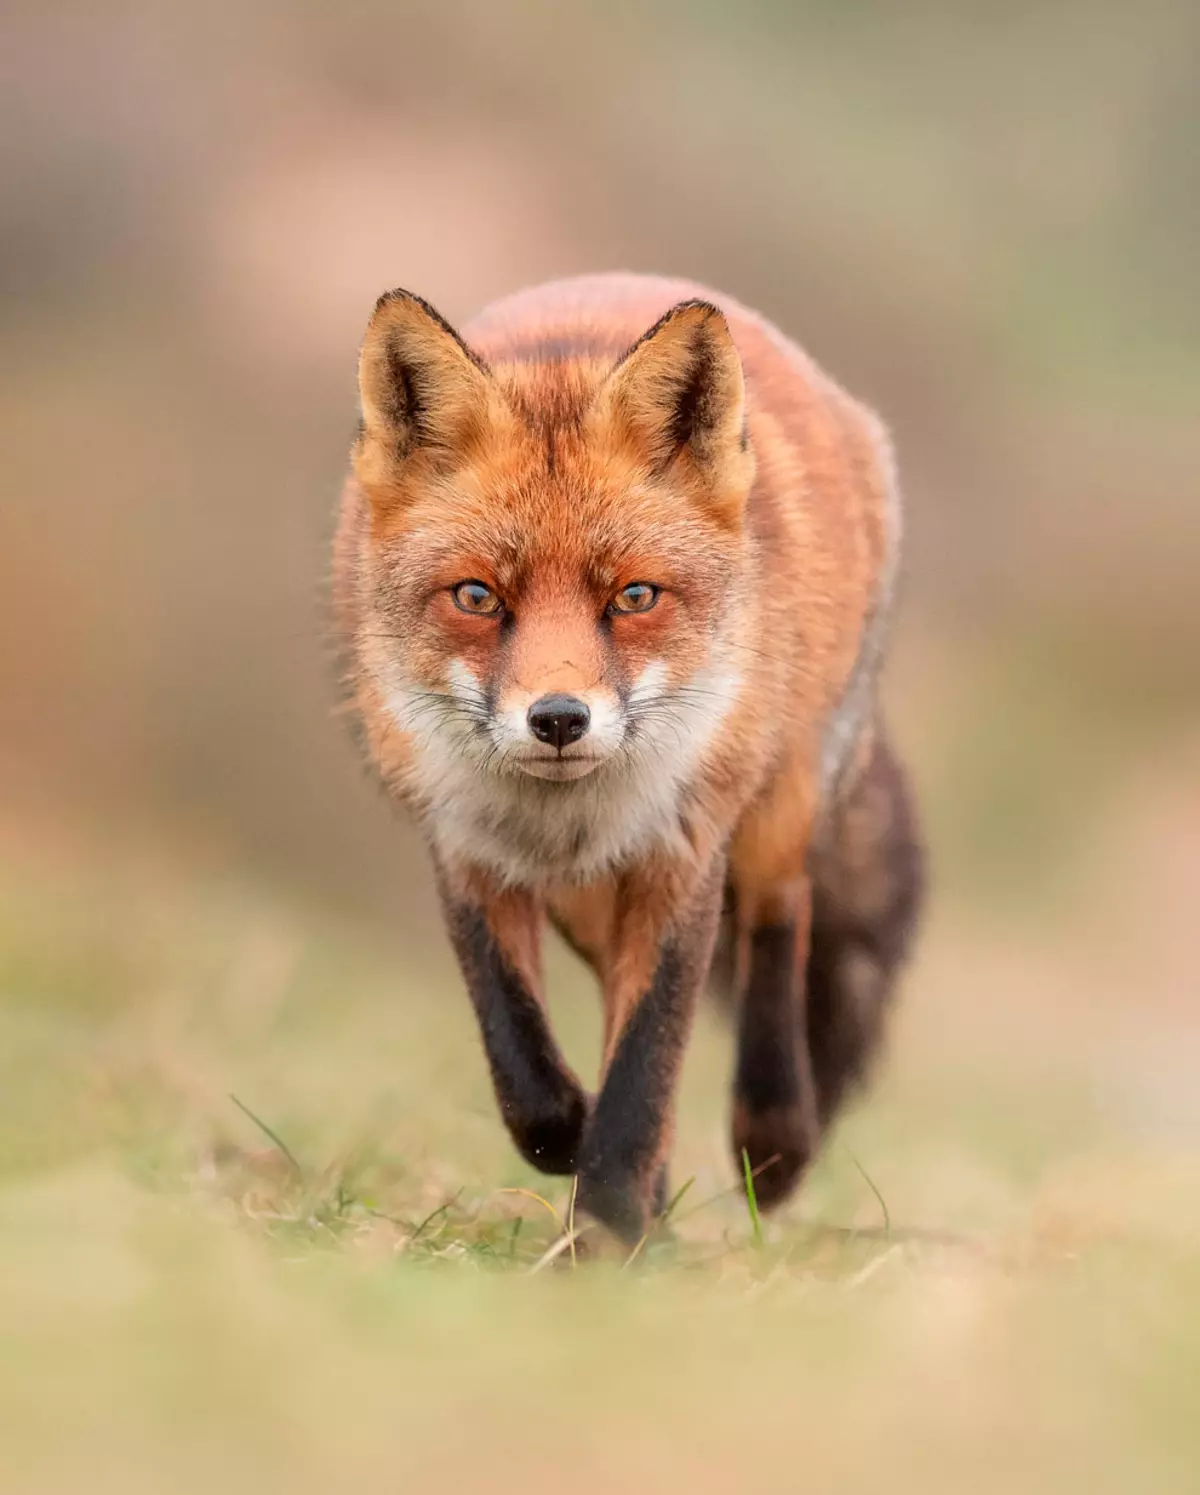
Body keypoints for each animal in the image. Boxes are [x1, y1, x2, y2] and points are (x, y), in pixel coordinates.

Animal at [333, 275, 926, 1243]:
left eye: (634, 596)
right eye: (477, 597)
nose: (559, 719)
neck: (564, 817)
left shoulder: (679, 855)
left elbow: (647, 1060)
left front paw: (607, 1229)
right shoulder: (465, 850)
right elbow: (522, 1055)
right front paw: (583, 1156)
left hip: (778, 806)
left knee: (781, 922)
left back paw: (773, 1141)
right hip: (588, 905)